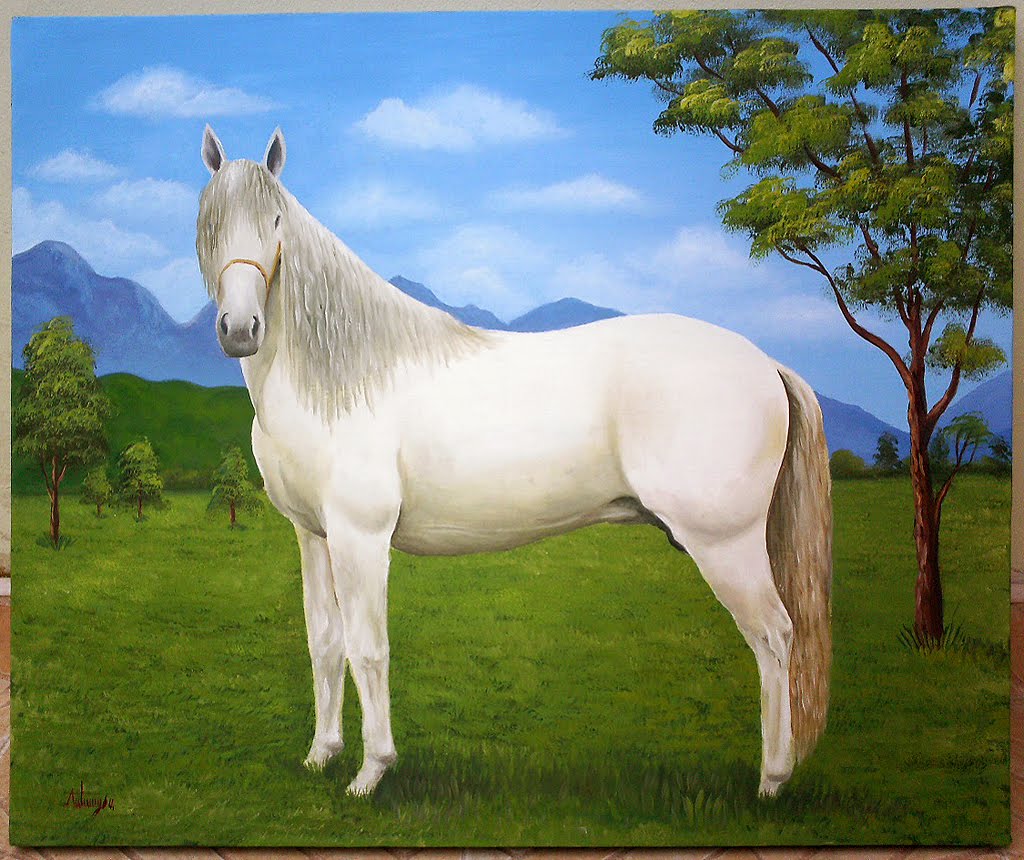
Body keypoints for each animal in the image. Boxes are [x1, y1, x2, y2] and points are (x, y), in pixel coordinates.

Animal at [196, 126, 832, 799]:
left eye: (274, 219)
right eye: (210, 223)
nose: (241, 329)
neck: (345, 375)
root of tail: (766, 364)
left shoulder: (360, 537)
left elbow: (368, 648)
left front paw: (371, 773)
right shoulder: (313, 536)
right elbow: (324, 642)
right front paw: (322, 754)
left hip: (726, 543)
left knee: (774, 638)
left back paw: (772, 781)